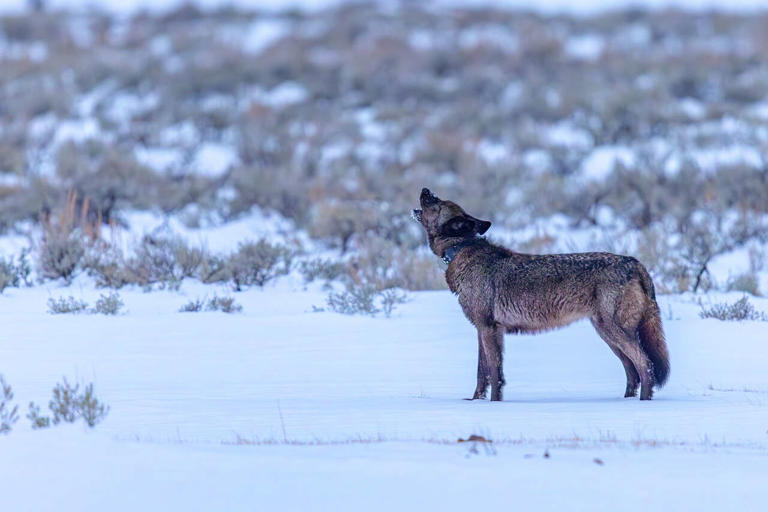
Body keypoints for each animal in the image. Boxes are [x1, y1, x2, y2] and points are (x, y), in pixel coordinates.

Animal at [412, 188, 669, 401]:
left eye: (436, 202)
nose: (425, 189)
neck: (461, 250)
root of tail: (635, 263)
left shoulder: (488, 328)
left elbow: (494, 373)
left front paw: (494, 405)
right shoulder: (484, 330)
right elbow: (481, 374)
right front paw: (476, 402)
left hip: (614, 332)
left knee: (644, 364)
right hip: (607, 335)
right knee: (632, 371)